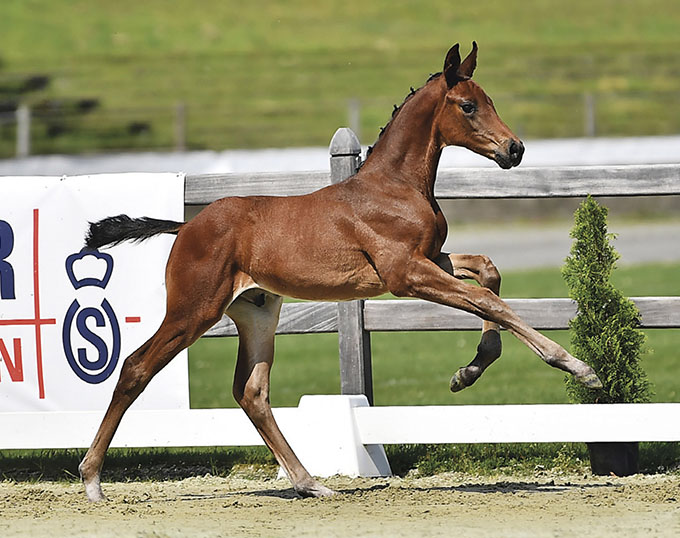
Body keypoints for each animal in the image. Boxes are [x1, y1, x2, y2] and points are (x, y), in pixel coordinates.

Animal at [78, 42, 602, 501]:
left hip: (257, 312)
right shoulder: (405, 275)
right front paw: (577, 366)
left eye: (489, 101)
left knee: (252, 391)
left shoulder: (430, 259)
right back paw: (92, 480)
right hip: (193, 310)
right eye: (469, 106)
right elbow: (487, 299)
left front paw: (467, 372)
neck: (394, 185)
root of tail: (186, 226)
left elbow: (488, 276)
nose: (515, 149)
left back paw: (310, 483)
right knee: (136, 367)